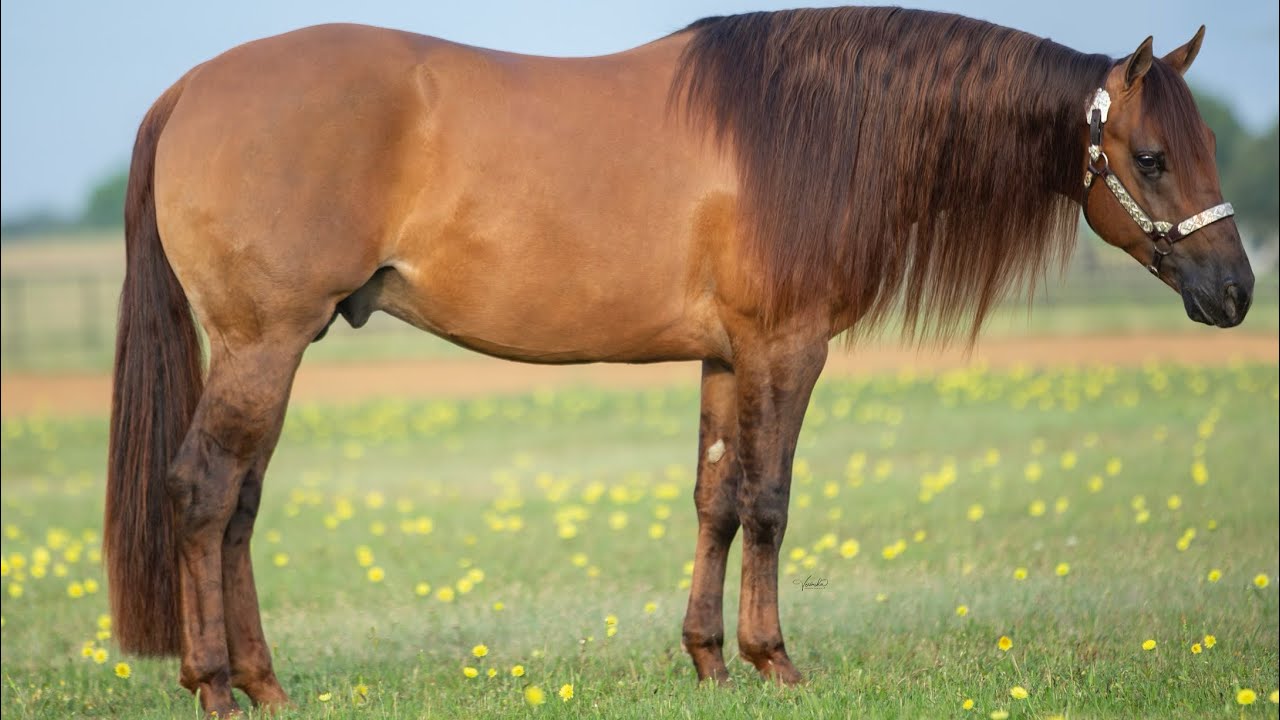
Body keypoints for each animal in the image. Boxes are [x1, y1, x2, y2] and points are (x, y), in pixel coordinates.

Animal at [104, 7, 1253, 715]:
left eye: (1205, 149)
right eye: (1152, 157)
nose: (1236, 291)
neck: (805, 130)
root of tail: (189, 89)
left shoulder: (724, 357)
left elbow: (714, 500)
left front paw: (706, 662)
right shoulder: (787, 348)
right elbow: (771, 502)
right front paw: (775, 662)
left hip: (273, 351)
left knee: (239, 506)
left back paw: (267, 685)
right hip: (261, 344)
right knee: (202, 492)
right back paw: (214, 685)